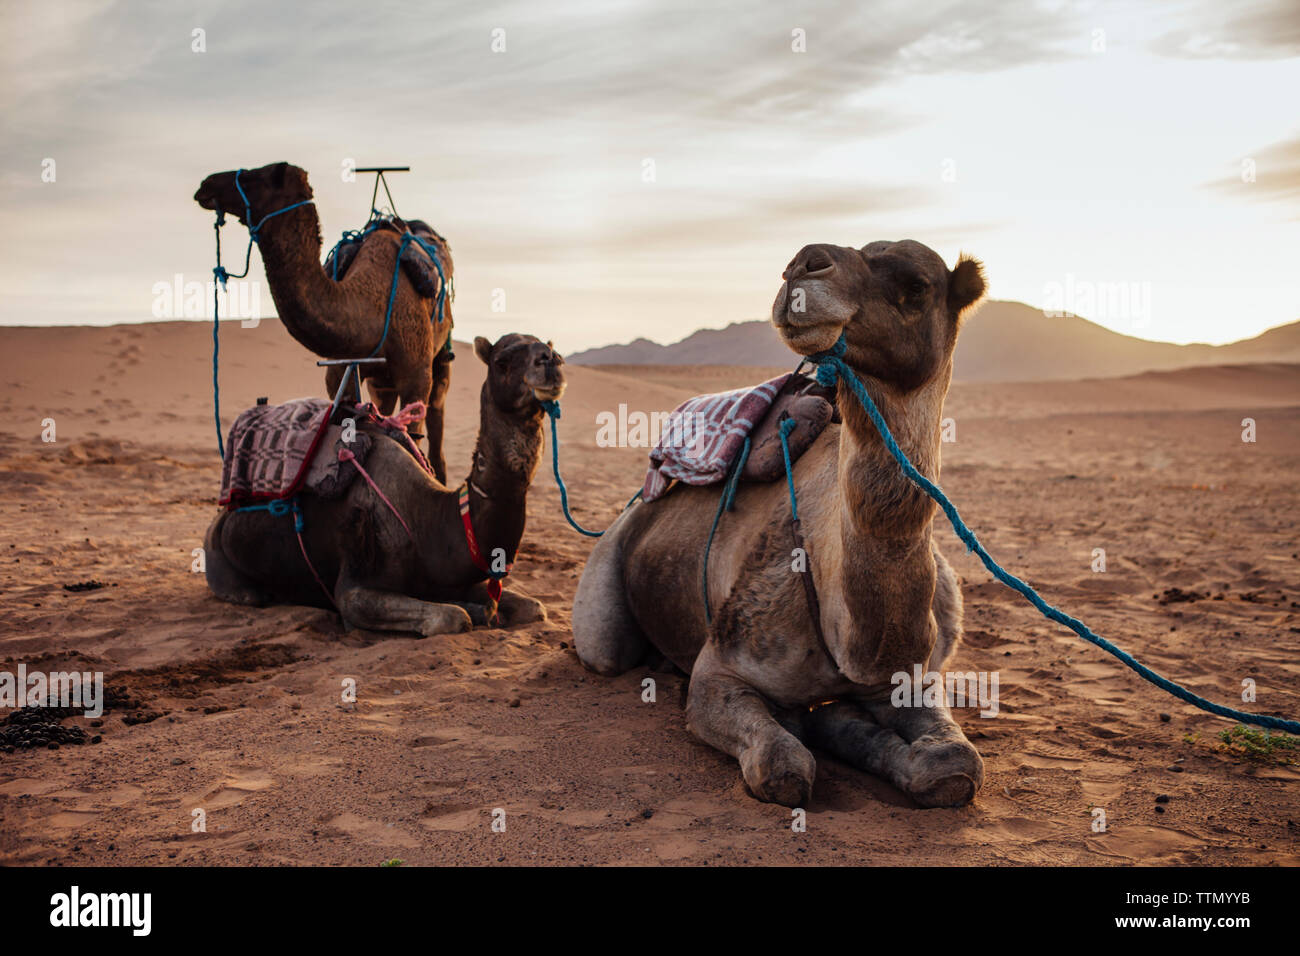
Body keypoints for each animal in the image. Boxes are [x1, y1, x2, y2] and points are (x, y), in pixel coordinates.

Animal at [194, 161, 456, 483]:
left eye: (260, 176)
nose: (206, 185)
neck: (370, 303)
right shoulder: (340, 370)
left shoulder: (416, 375)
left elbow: (414, 434)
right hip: (382, 381)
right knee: (384, 399)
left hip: (440, 355)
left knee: (437, 408)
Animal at [203, 334, 564, 636]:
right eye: (502, 361)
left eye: (545, 344)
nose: (552, 359)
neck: (434, 521)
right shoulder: (355, 590)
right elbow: (452, 617)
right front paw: (471, 610)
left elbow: (535, 607)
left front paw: (485, 608)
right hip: (221, 565)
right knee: (250, 595)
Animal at [572, 239, 988, 809]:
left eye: (916, 284)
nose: (804, 264)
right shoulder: (718, 669)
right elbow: (782, 763)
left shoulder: (914, 678)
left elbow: (953, 764)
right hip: (607, 578)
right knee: (606, 651)